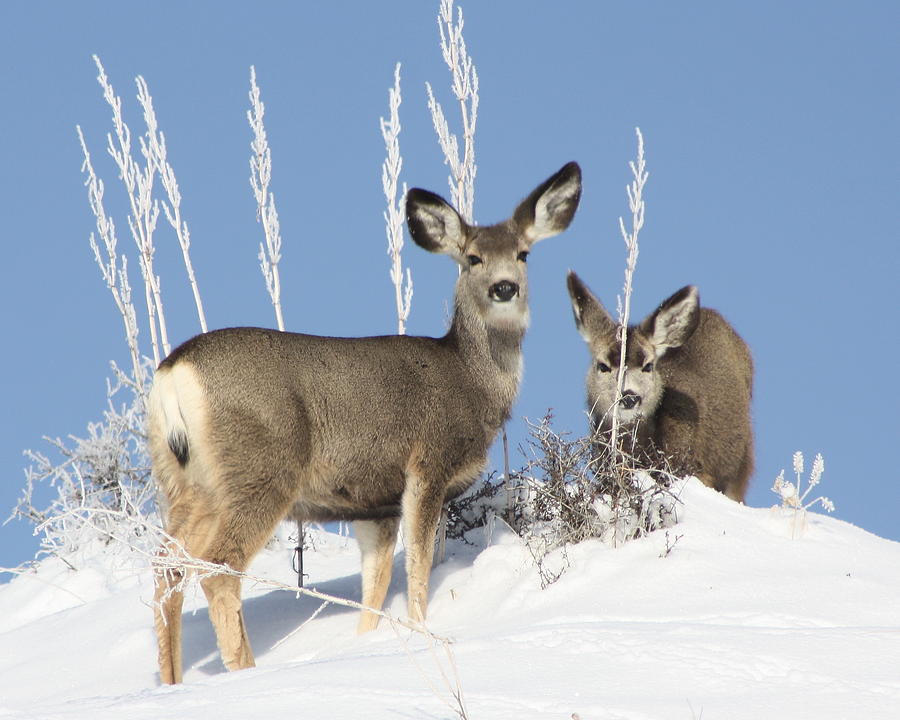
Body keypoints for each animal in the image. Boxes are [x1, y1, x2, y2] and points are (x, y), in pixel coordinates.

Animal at [148, 162, 582, 683]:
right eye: (472, 258)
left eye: (523, 253)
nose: (505, 287)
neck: (469, 379)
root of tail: (174, 372)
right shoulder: (427, 465)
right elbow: (417, 568)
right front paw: (421, 631)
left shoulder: (375, 505)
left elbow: (375, 588)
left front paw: (365, 645)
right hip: (259, 468)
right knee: (217, 565)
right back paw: (244, 670)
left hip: (182, 479)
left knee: (166, 564)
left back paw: (170, 682)